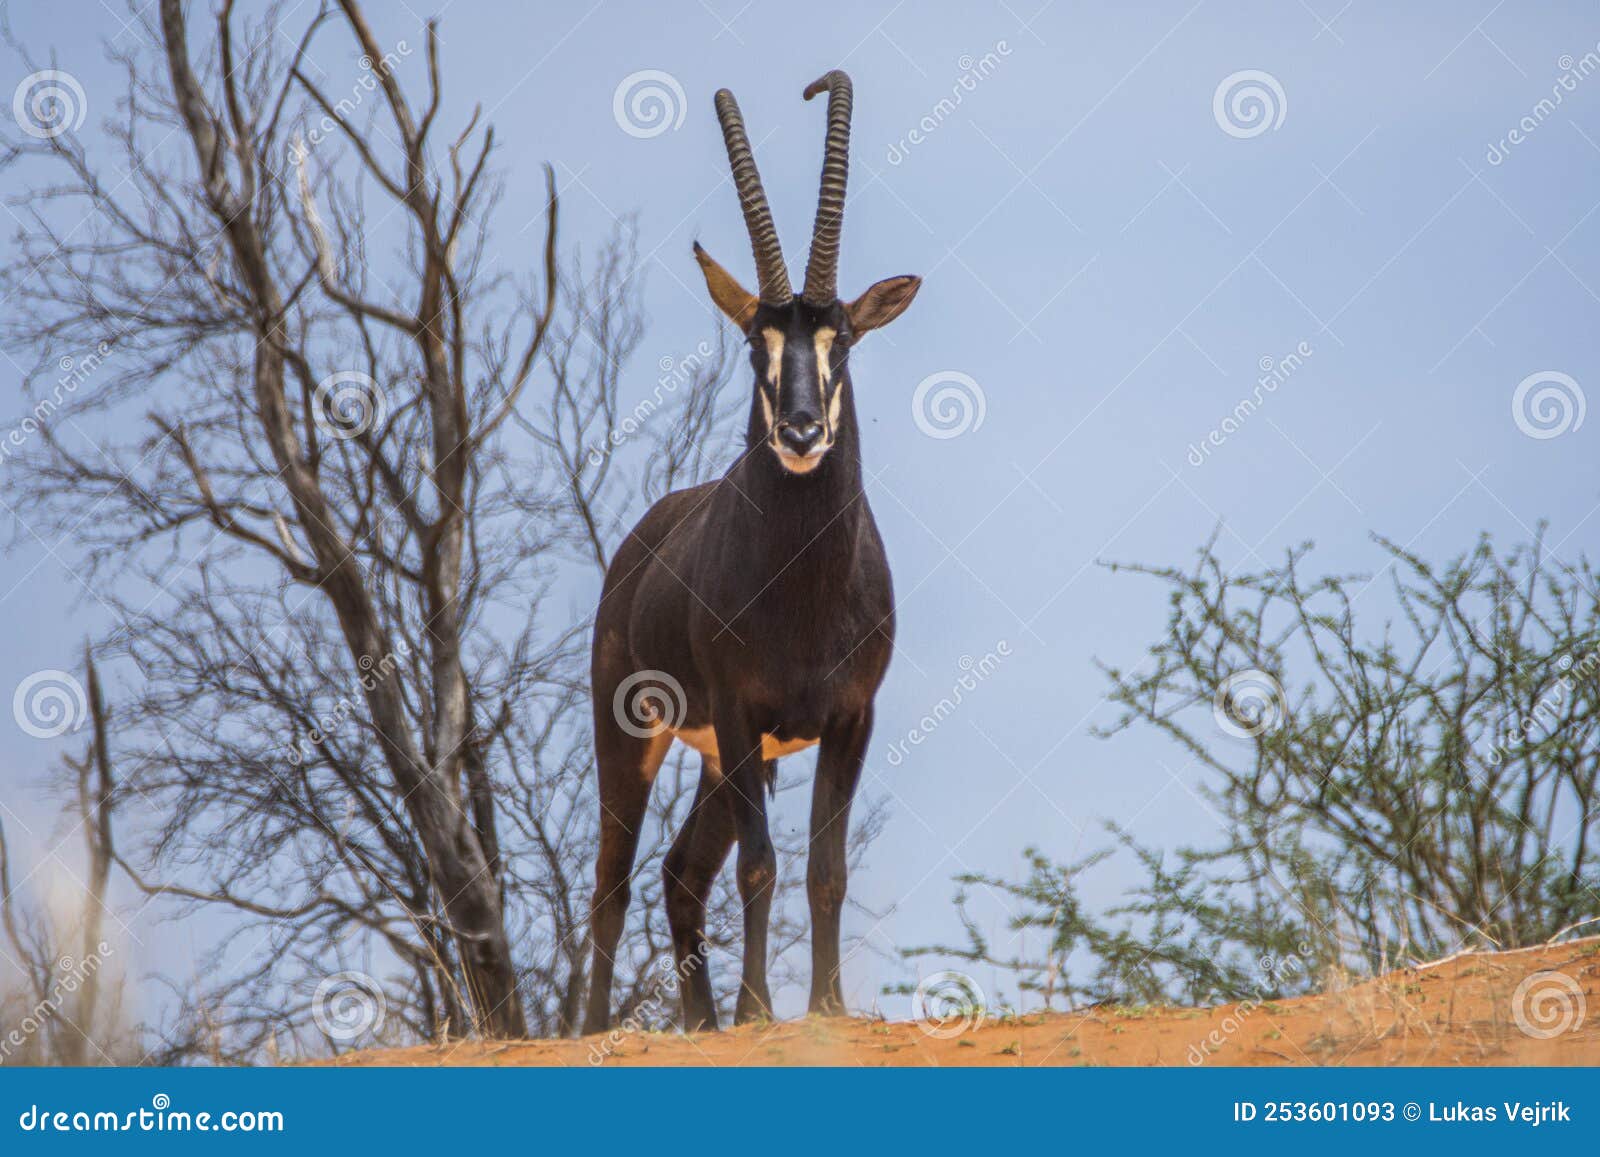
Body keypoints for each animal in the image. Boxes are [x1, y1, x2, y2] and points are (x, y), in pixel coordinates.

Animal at [583, 70, 921, 1033]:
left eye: (841, 336)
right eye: (753, 341)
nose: (801, 431)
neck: (805, 586)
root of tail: (637, 548)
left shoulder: (848, 718)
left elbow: (825, 868)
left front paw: (827, 1004)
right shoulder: (739, 714)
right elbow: (764, 865)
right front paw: (757, 1012)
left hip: (717, 763)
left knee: (679, 871)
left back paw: (695, 1021)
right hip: (637, 735)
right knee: (613, 880)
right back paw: (591, 1025)